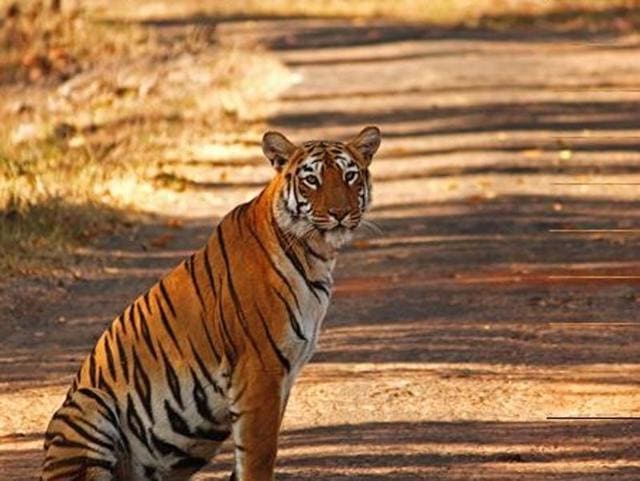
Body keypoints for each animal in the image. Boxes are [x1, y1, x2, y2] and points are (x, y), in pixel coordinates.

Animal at [41, 126, 382, 481]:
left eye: (349, 175)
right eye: (312, 180)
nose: (340, 214)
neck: (316, 255)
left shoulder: (283, 375)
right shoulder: (260, 368)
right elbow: (259, 454)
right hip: (88, 407)